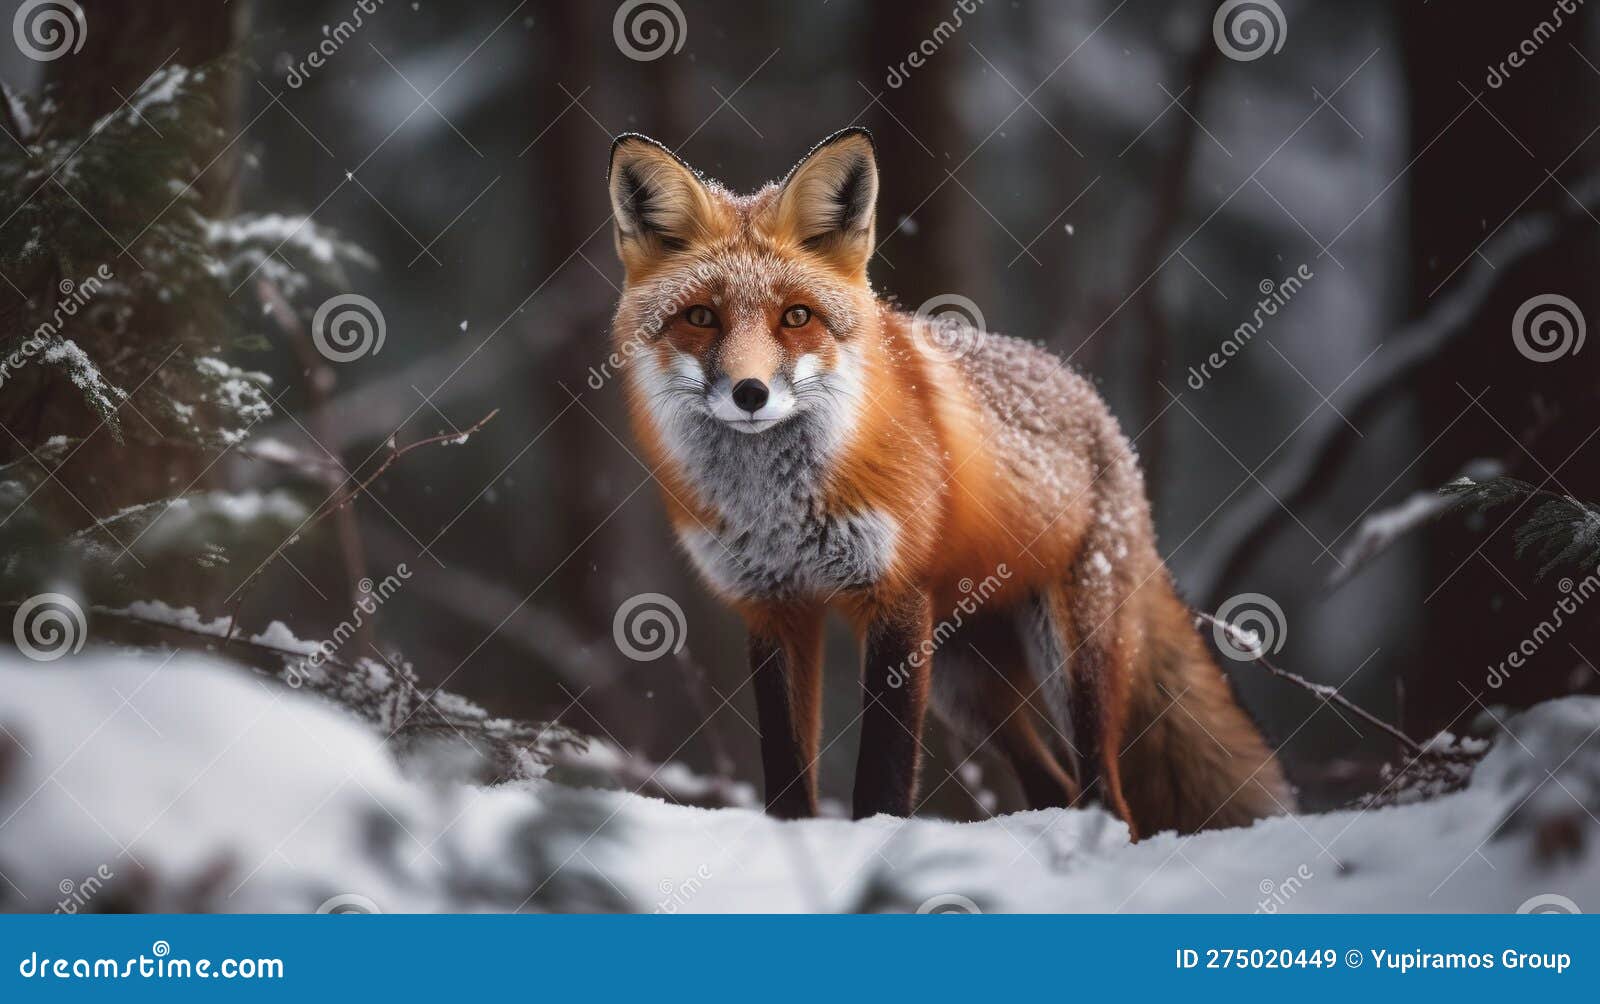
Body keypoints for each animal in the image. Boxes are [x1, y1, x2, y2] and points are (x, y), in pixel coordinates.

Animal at [606, 127, 1291, 837]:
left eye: (796, 317)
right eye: (701, 317)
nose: (750, 392)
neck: (777, 509)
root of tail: (1100, 411)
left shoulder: (894, 598)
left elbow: (883, 773)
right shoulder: (773, 605)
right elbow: (787, 771)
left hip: (1070, 656)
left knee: (1108, 794)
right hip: (967, 683)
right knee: (1054, 783)